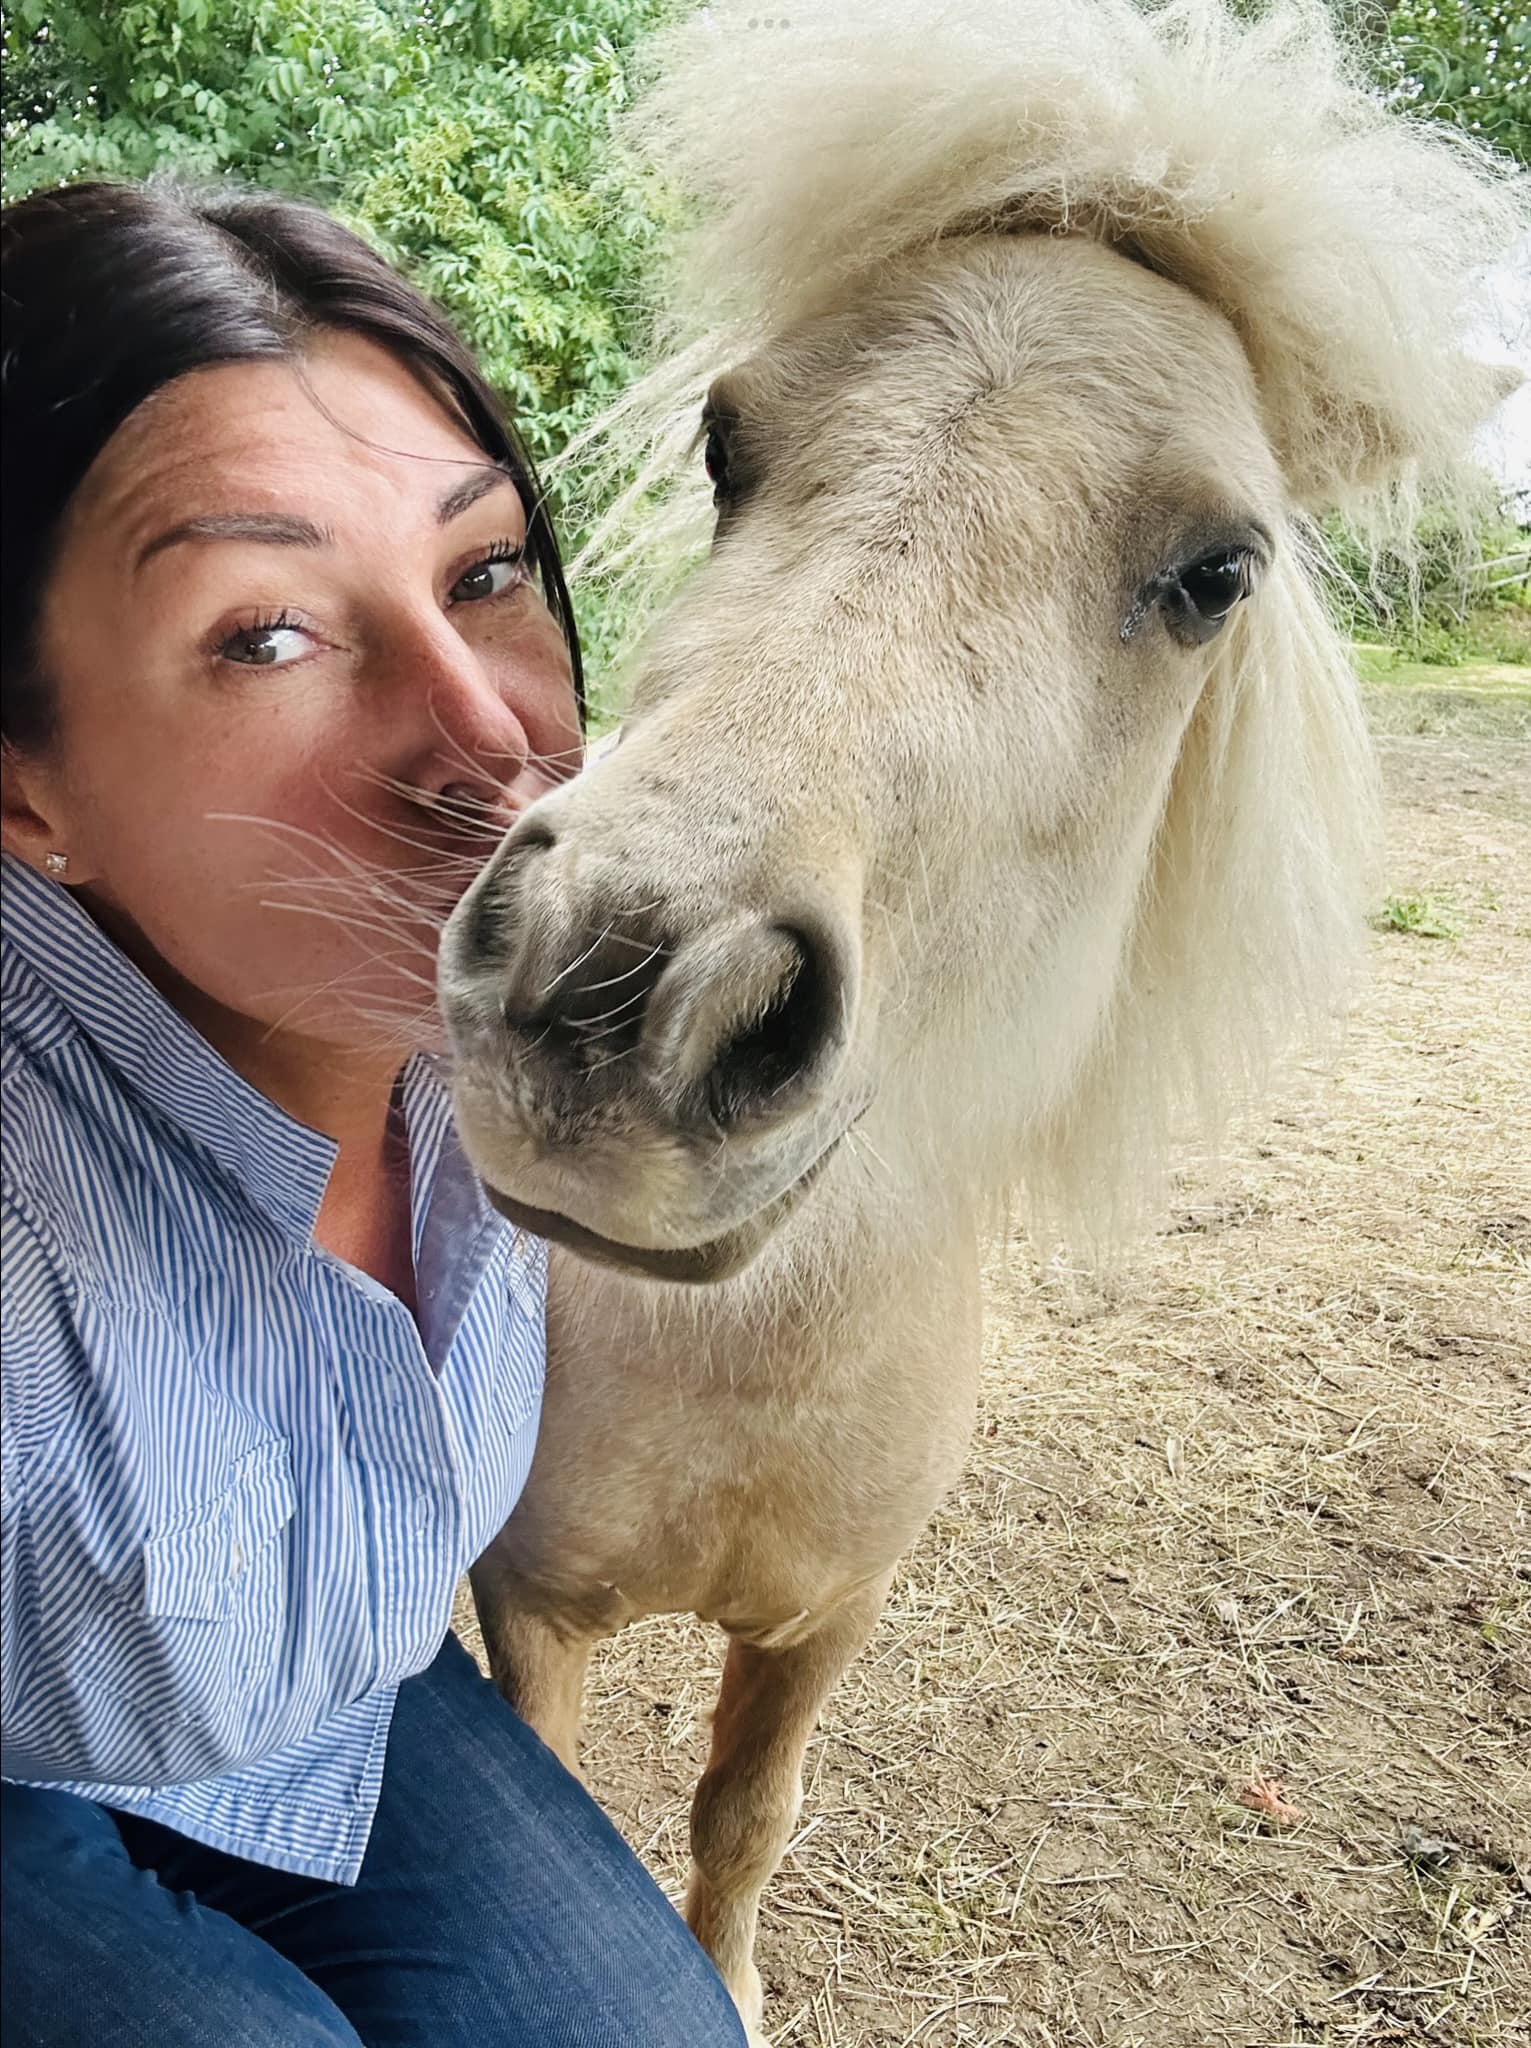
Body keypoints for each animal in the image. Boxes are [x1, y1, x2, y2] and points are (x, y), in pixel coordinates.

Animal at [438, 2, 1526, 2033]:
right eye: (726, 441)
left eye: (1215, 571)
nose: (615, 979)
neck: (747, 1369)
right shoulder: (528, 1606)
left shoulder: (826, 1619)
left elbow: (743, 1822)